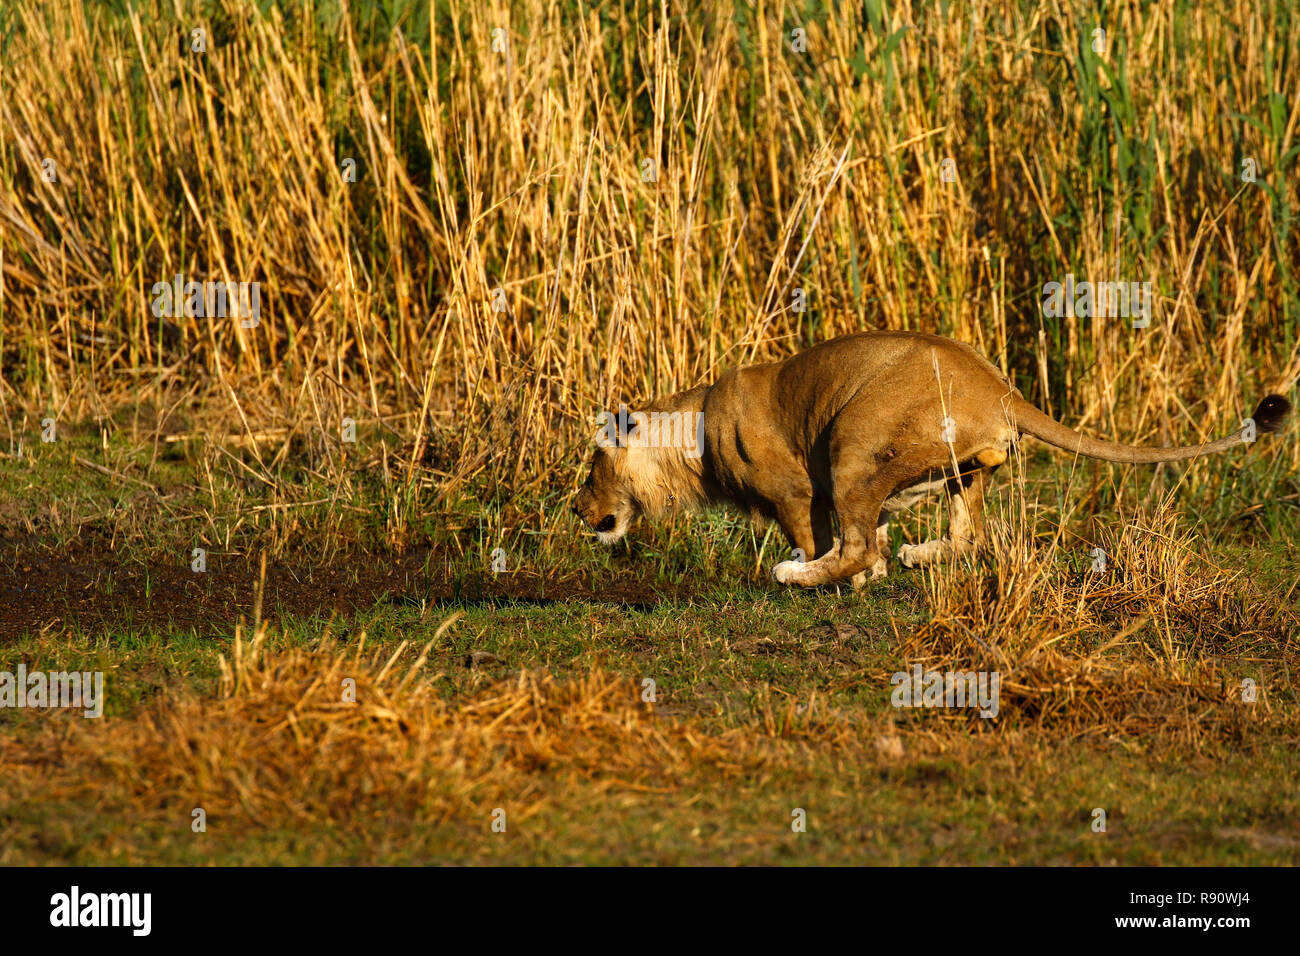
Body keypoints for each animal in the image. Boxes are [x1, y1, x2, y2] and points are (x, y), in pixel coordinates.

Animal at [572, 331, 1291, 587]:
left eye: (592, 467)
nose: (577, 510)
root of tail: (1000, 386)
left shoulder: (797, 491)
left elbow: (828, 539)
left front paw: (829, 573)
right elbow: (869, 537)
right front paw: (881, 569)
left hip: (853, 438)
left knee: (859, 541)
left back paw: (798, 576)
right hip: (962, 471)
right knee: (964, 537)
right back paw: (917, 557)